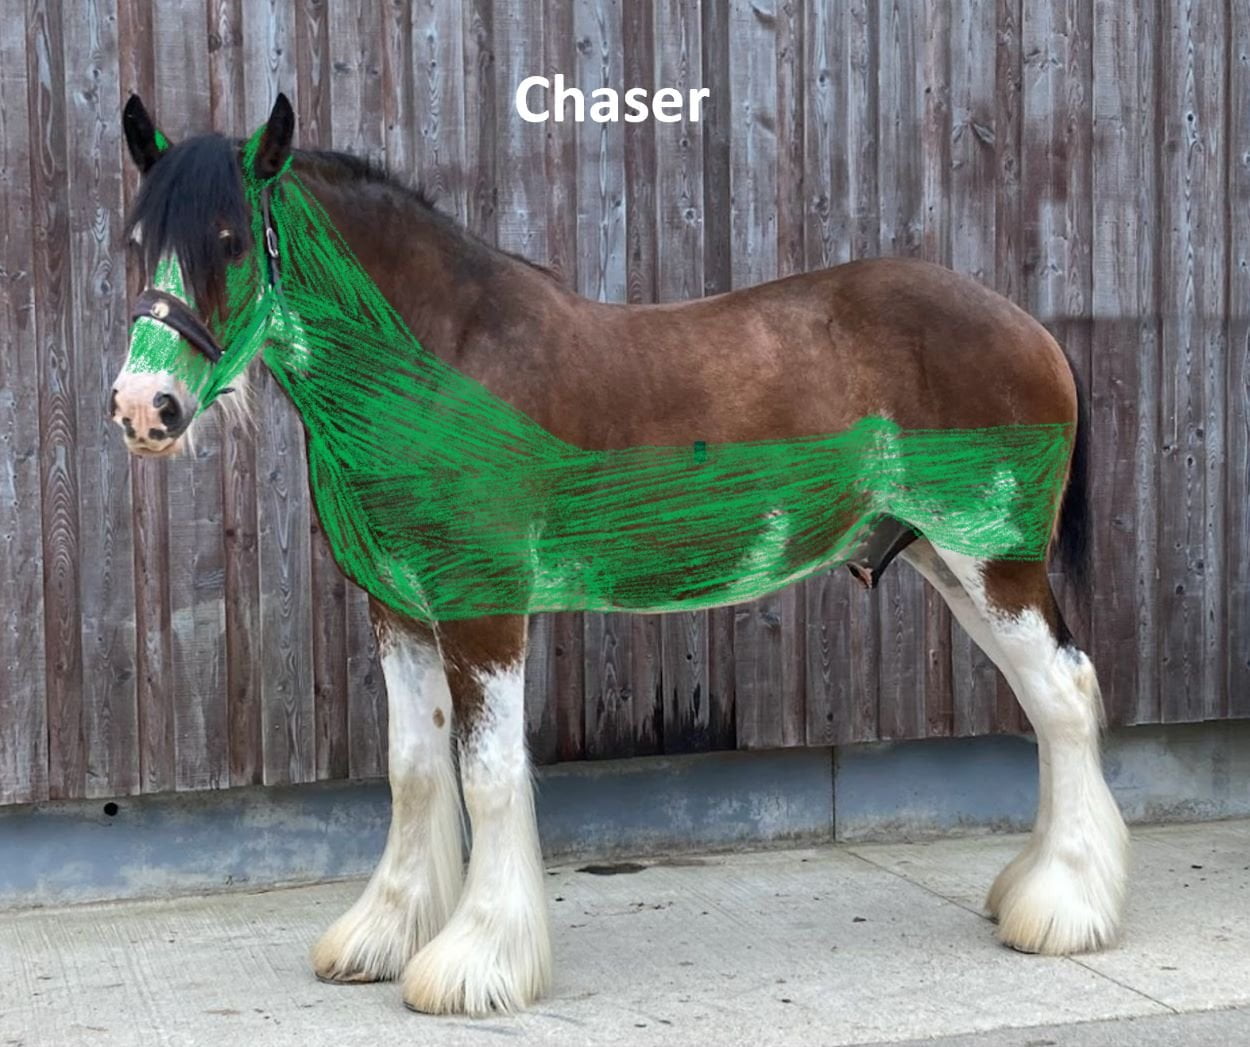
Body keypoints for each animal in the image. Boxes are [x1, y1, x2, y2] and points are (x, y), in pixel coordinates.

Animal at [109, 93, 1129, 1016]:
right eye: (134, 239)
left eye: (232, 240)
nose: (143, 407)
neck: (440, 368)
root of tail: (1028, 326)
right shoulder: (399, 610)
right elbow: (413, 770)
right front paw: (382, 937)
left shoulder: (484, 610)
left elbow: (487, 773)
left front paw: (476, 963)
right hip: (950, 567)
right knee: (1047, 699)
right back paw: (1035, 892)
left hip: (992, 563)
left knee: (1066, 693)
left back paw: (1066, 911)